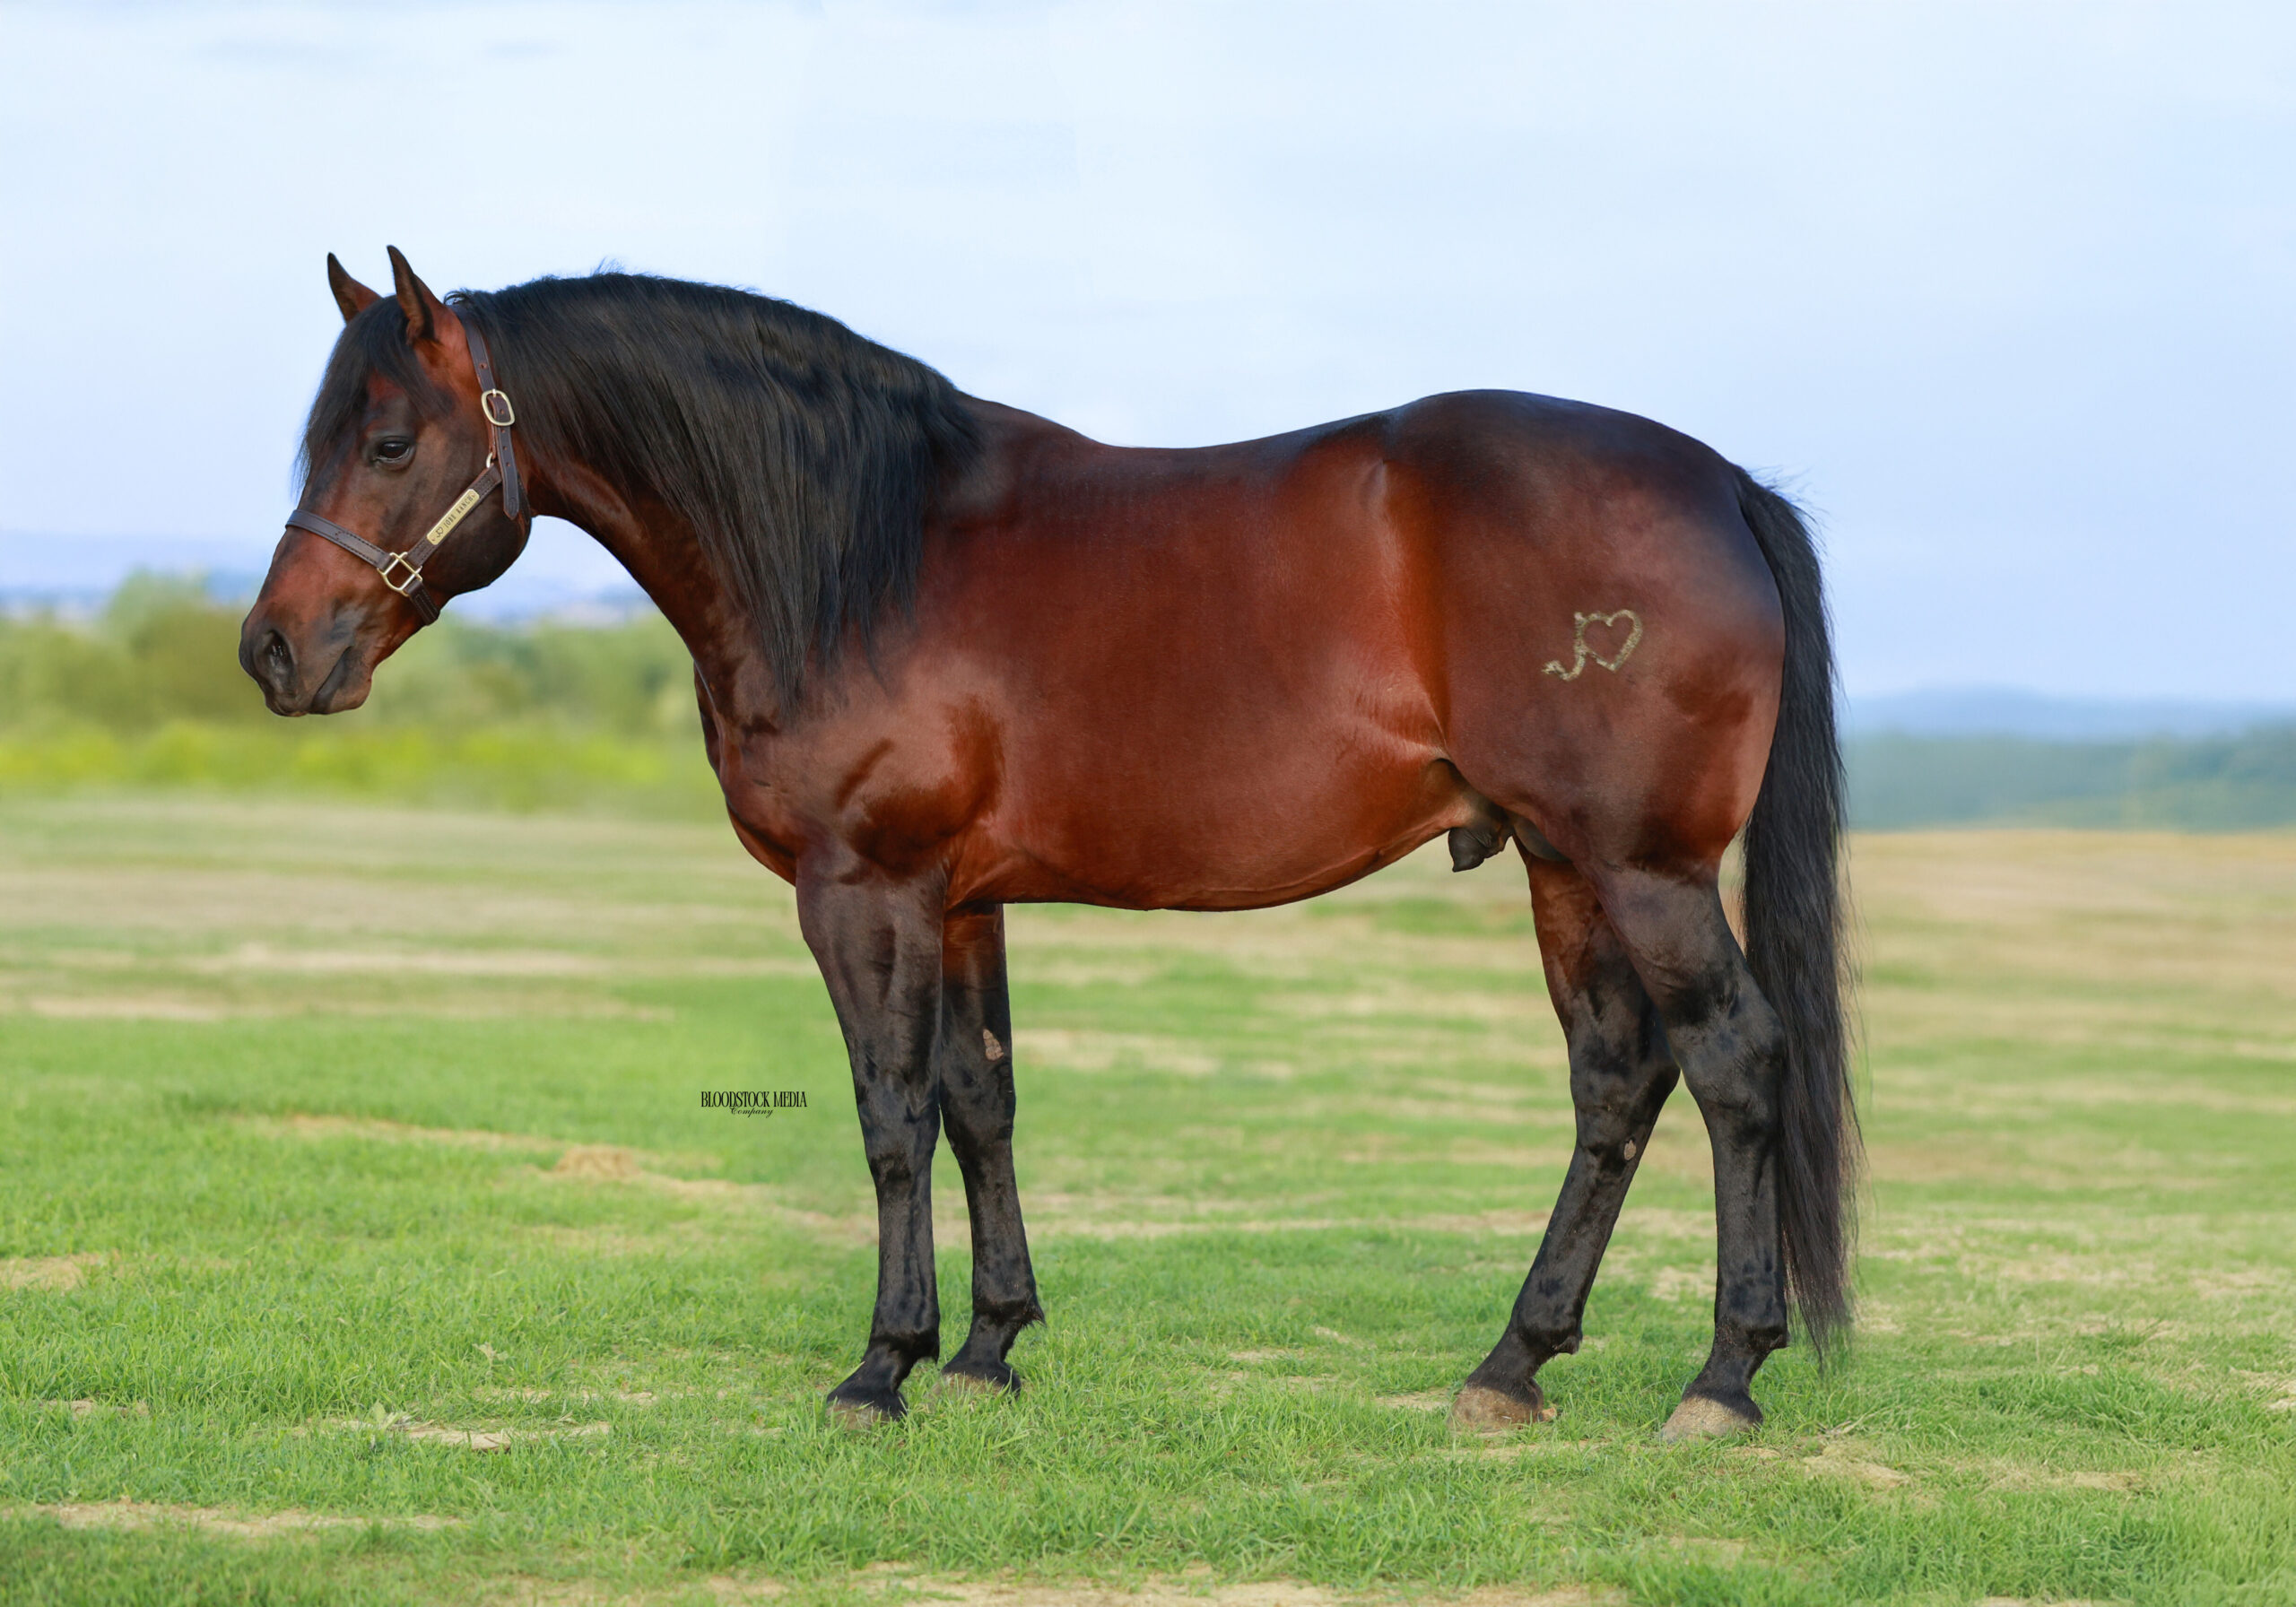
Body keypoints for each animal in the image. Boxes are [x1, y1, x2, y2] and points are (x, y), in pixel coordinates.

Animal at [242, 248, 1855, 1438]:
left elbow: (890, 1115)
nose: (272, 651)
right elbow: (980, 1100)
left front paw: (881, 1367)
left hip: (1643, 868)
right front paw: (988, 1349)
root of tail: (1720, 483)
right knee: (1618, 1080)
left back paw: (1722, 1381)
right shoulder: (962, 899)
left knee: (1734, 1062)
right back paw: (1512, 1364)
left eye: (389, 439)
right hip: (1564, 864)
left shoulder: (865, 887)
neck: (866, 553)